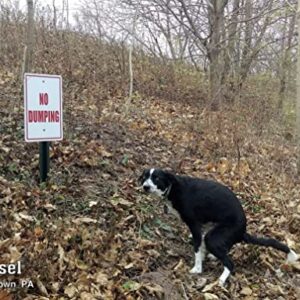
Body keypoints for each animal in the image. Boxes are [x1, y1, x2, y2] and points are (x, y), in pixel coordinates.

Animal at [139, 170, 298, 284]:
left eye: (156, 178)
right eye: (145, 176)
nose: (145, 187)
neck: (173, 188)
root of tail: (242, 231)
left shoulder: (195, 226)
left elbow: (197, 248)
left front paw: (197, 268)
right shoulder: (202, 228)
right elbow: (200, 247)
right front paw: (203, 257)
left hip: (214, 238)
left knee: (230, 263)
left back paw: (221, 279)